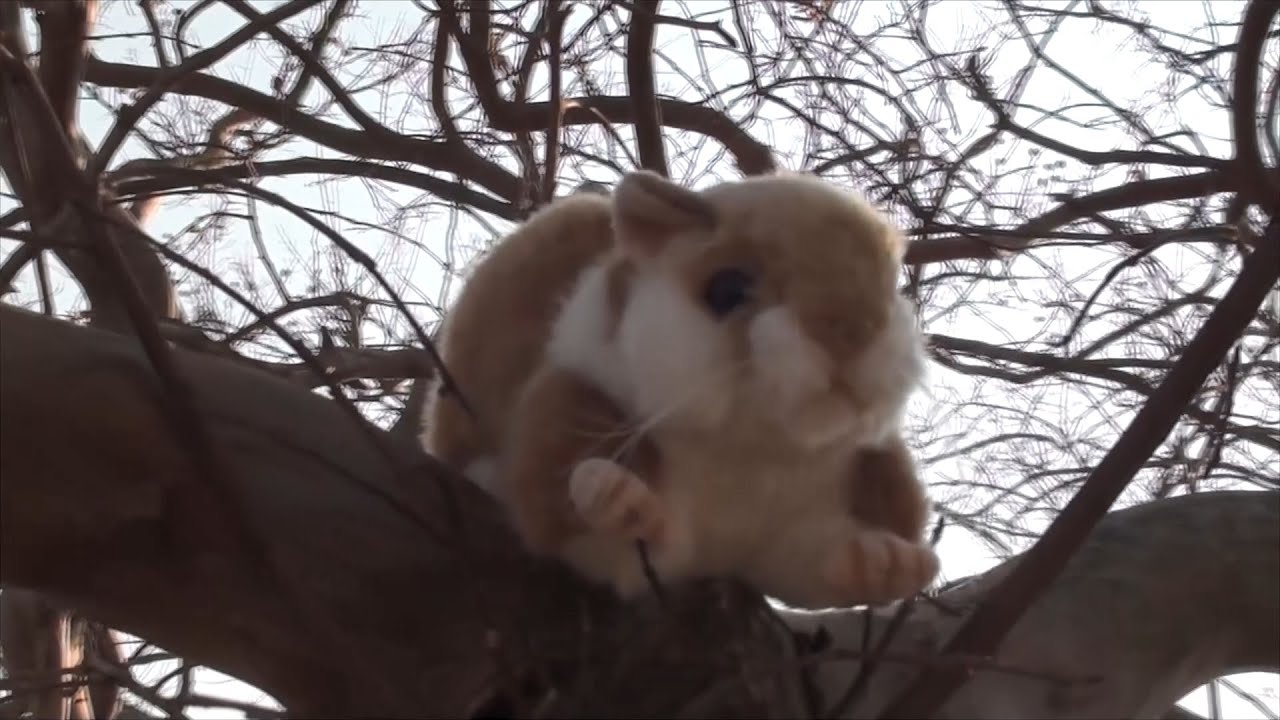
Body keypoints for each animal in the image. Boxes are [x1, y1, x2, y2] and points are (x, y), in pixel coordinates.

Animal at [421, 170, 939, 609]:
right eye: (727, 289)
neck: (749, 459)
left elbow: (825, 565)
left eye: (891, 292)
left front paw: (886, 561)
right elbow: (594, 526)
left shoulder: (794, 539)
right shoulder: (571, 407)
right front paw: (616, 494)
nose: (852, 331)